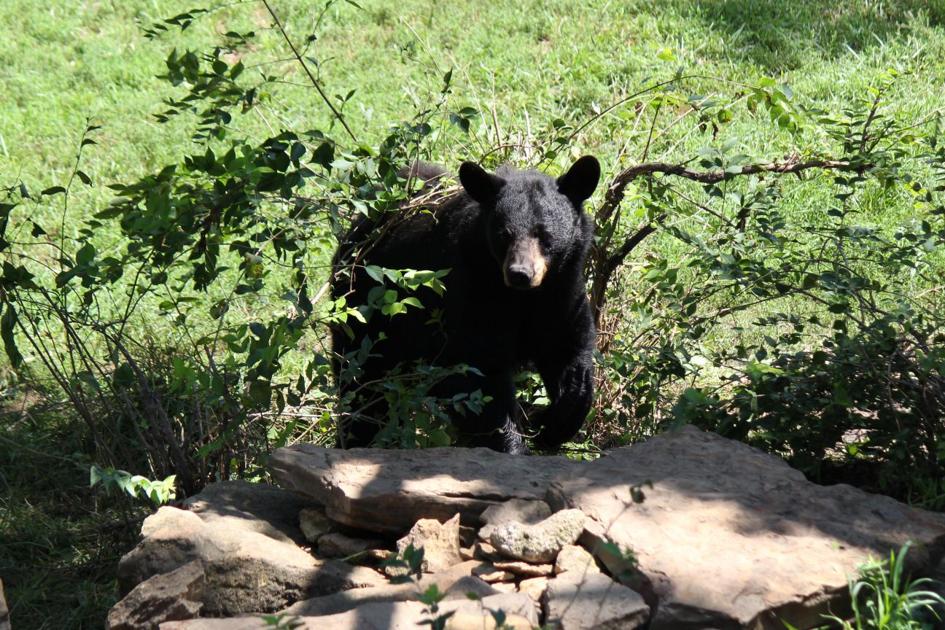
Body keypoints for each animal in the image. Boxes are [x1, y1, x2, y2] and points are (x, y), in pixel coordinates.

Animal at [330, 156, 601, 454]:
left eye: (544, 235)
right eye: (503, 234)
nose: (520, 273)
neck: (522, 297)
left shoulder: (563, 294)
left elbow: (569, 353)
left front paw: (551, 426)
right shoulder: (472, 295)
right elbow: (475, 374)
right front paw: (513, 446)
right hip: (365, 307)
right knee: (362, 378)